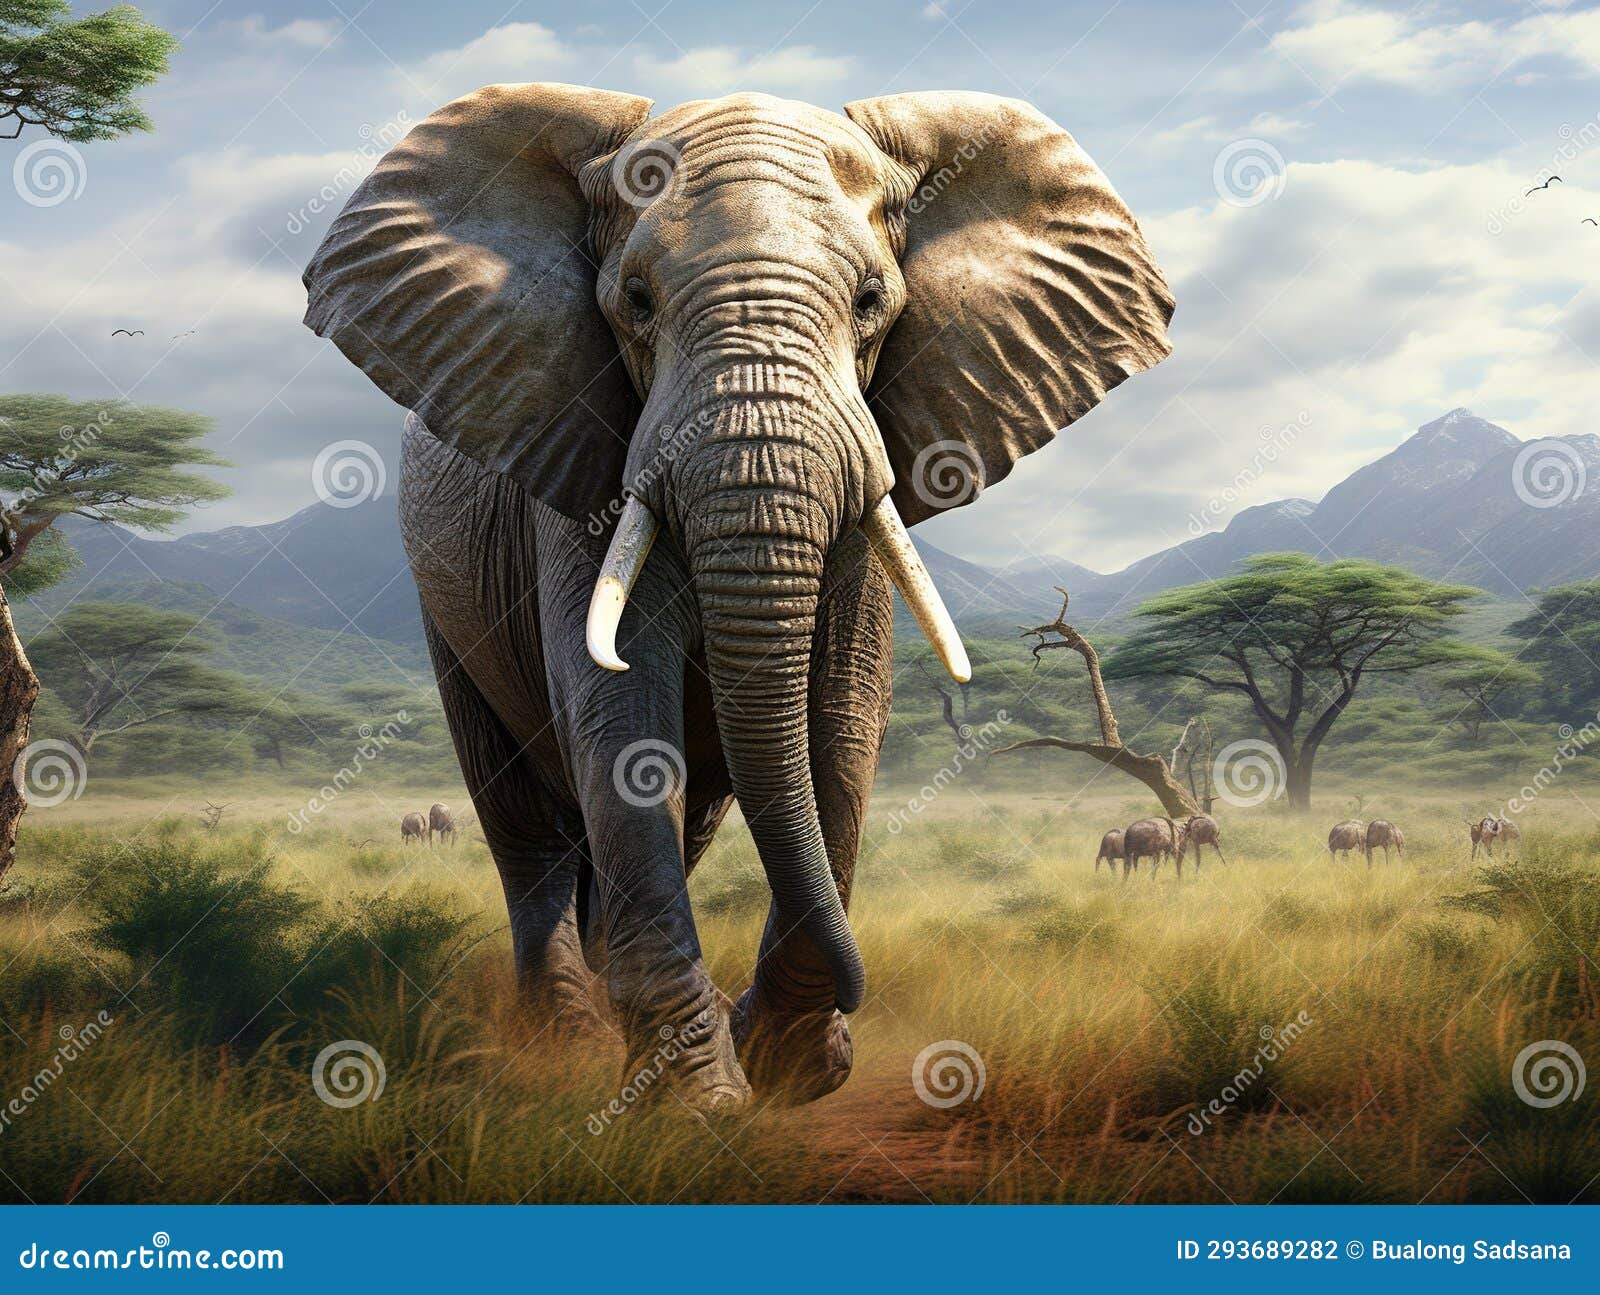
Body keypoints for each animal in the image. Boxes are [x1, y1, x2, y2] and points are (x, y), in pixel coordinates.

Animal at [302, 83, 1172, 1113]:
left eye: (872, 303)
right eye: (635, 304)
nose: (859, 992)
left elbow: (841, 722)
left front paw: (788, 1068)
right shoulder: (581, 454)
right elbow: (622, 718)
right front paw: (694, 1103)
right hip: (447, 600)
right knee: (522, 816)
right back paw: (568, 1035)